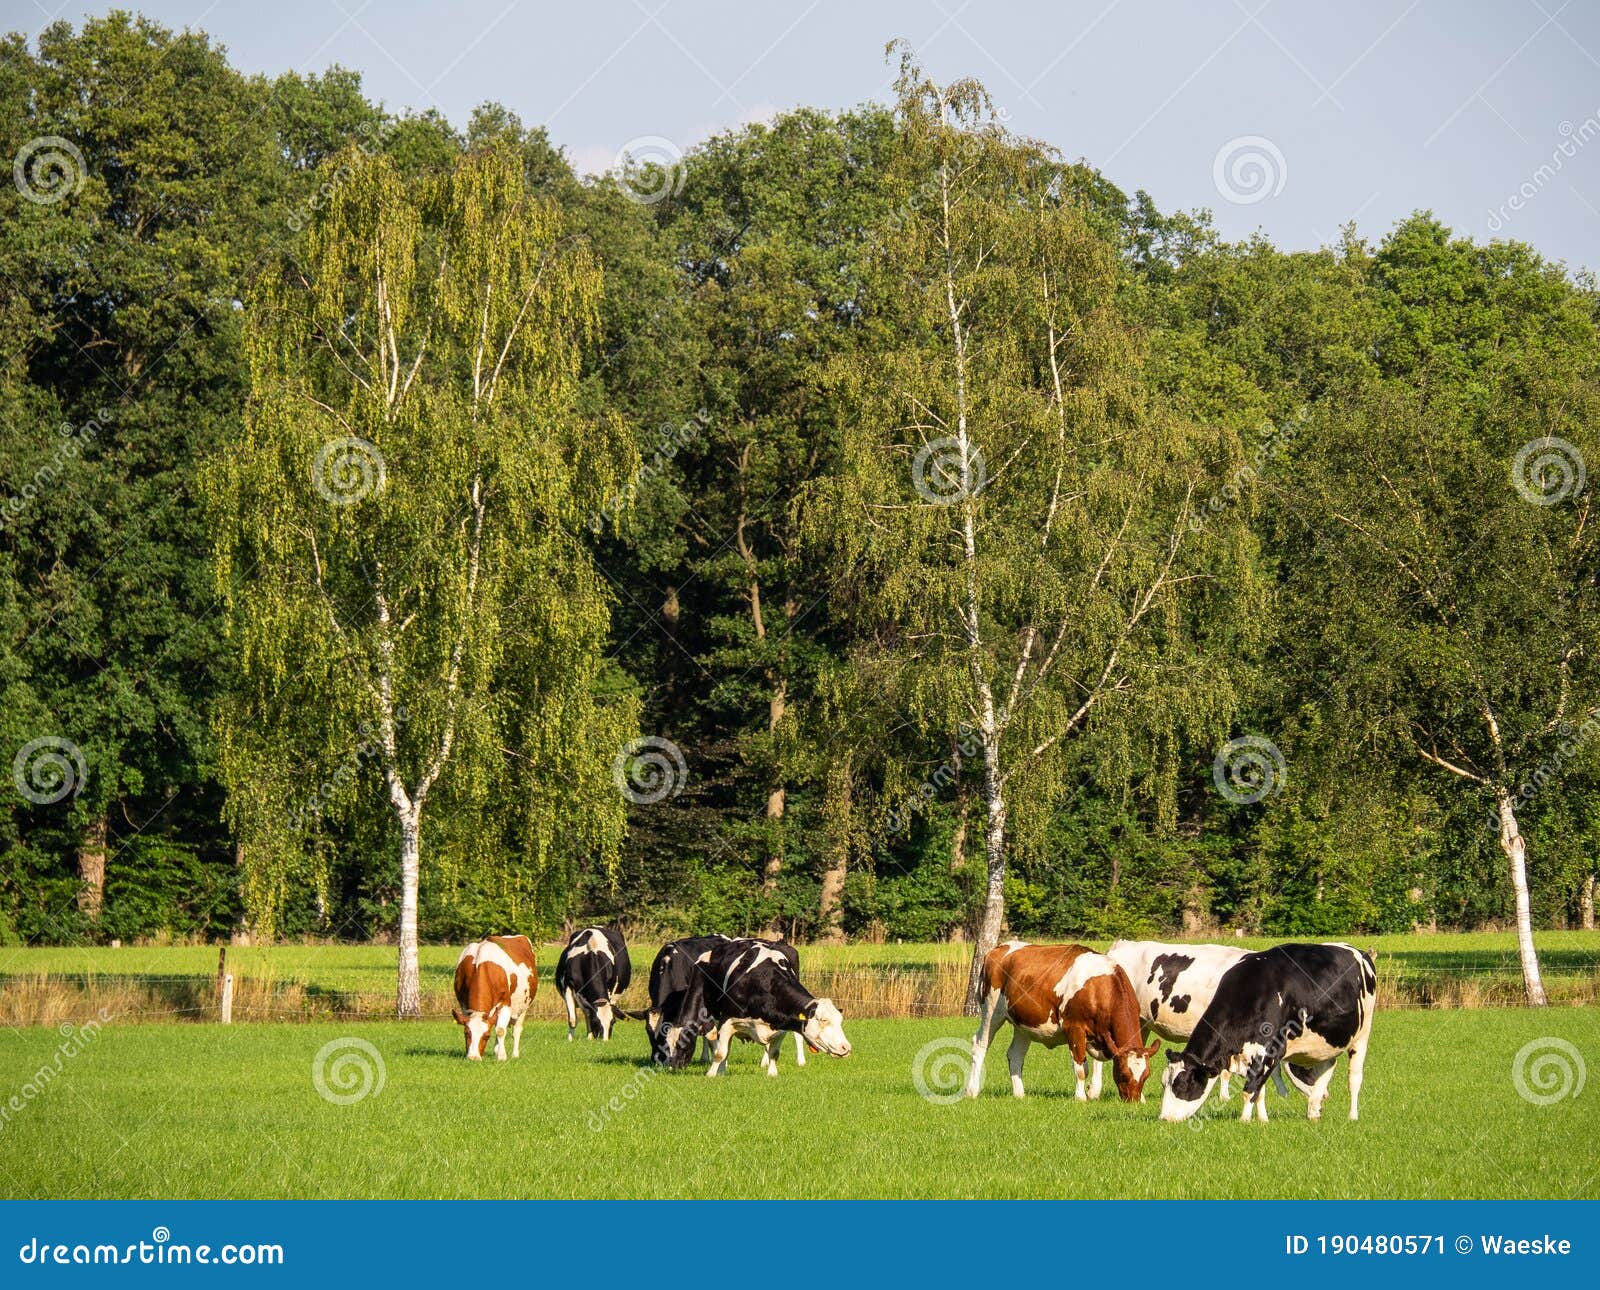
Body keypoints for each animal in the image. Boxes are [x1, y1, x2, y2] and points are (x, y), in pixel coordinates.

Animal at [646, 936, 851, 1076]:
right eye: (823, 1020)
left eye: (839, 1021)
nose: (846, 1048)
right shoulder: (726, 1020)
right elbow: (721, 1051)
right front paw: (713, 1074)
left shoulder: (781, 1025)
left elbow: (774, 1052)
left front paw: (772, 1073)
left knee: (794, 1037)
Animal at [964, 940, 1159, 1102]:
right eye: (1124, 1074)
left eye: (1146, 1075)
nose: (1133, 1101)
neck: (1101, 990)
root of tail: (999, 948)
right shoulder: (1075, 1029)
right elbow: (1081, 1068)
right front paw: (1080, 1098)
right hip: (991, 1011)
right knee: (980, 1046)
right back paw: (972, 1091)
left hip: (1023, 1024)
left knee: (1015, 1054)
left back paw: (1019, 1094)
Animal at [1158, 941, 1376, 1124]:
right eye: (1164, 1083)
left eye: (1182, 1085)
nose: (1164, 1118)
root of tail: (1359, 952)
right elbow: (1259, 1091)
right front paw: (1262, 1120)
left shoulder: (1270, 1051)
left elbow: (1250, 1089)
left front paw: (1244, 1120)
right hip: (1324, 1042)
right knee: (1328, 1066)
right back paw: (1314, 1110)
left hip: (1362, 1036)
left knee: (1354, 1078)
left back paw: (1352, 1116)